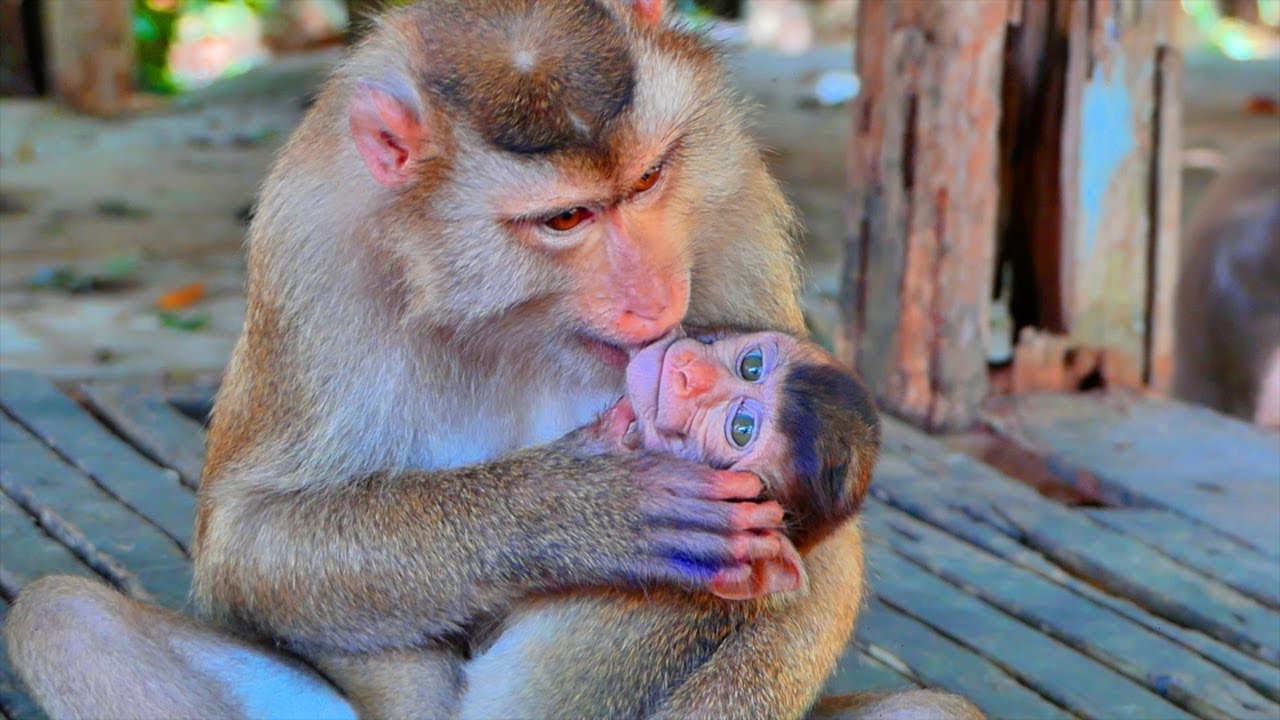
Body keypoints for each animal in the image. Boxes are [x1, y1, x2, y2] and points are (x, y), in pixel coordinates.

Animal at [5, 2, 983, 719]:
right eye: (565, 219)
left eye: (648, 179)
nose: (657, 302)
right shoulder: (309, 248)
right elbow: (251, 539)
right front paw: (581, 510)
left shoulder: (728, 182)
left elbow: (822, 550)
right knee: (63, 618)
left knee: (933, 708)